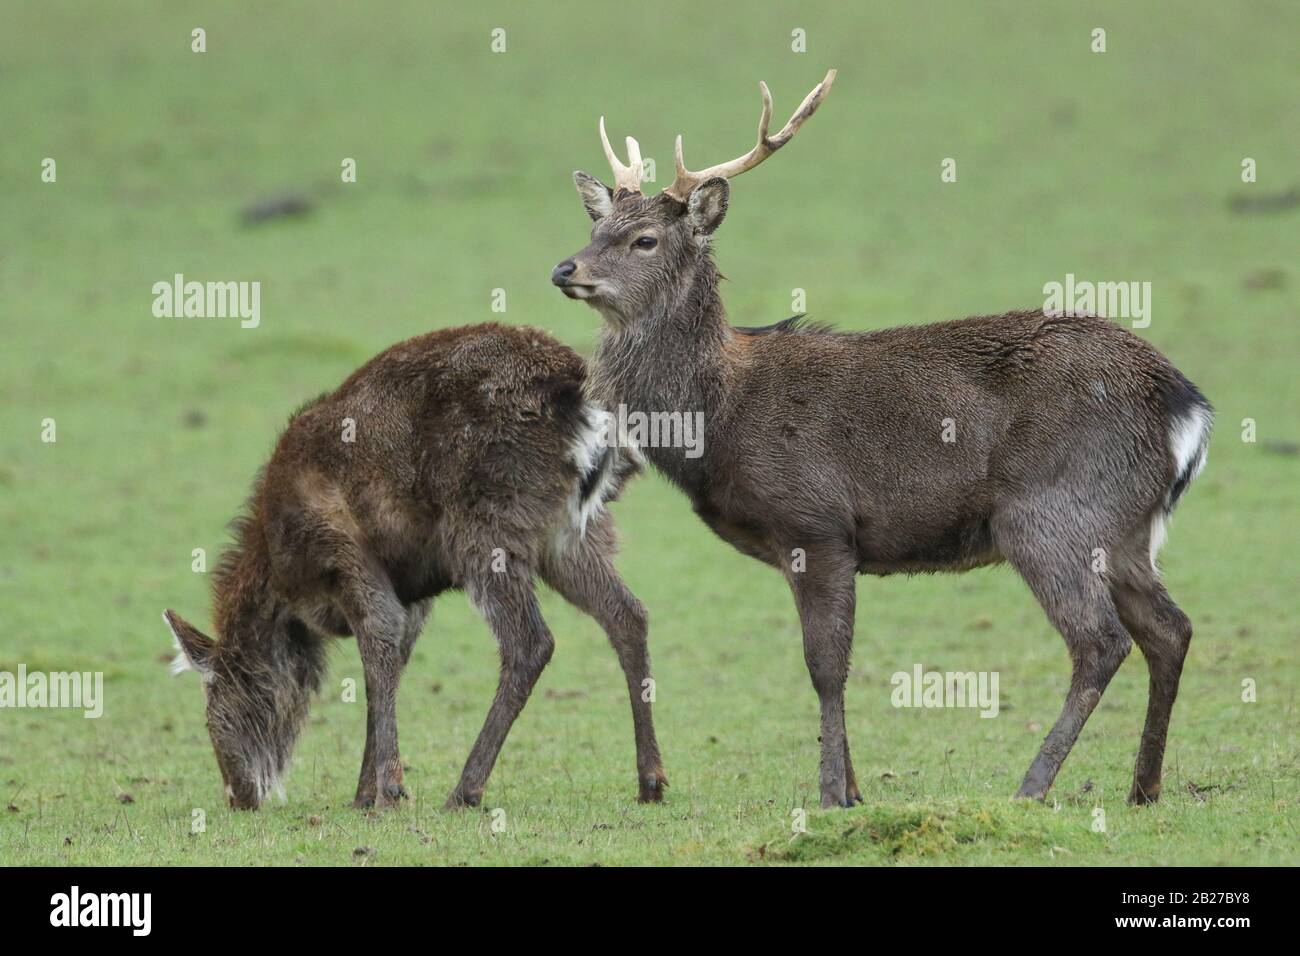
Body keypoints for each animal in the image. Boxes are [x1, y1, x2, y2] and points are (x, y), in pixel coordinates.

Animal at [165, 323, 666, 810]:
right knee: (627, 613)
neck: (284, 584)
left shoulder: (343, 552)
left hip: (486, 527)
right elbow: (396, 660)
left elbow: (379, 648)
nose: (238, 795)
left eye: (216, 708)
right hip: (572, 533)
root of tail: (584, 398)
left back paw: (465, 790)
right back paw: (651, 780)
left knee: (531, 641)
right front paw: (367, 791)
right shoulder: (413, 590)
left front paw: (386, 791)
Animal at [552, 70, 1213, 809]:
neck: (717, 415)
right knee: (1170, 630)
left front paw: (831, 793)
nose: (566, 269)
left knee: (1101, 640)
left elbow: (825, 664)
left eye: (644, 239)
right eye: (594, 225)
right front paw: (854, 789)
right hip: (1124, 528)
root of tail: (1184, 405)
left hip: (1051, 511)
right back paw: (1144, 786)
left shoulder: (816, 522)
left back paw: (1032, 785)